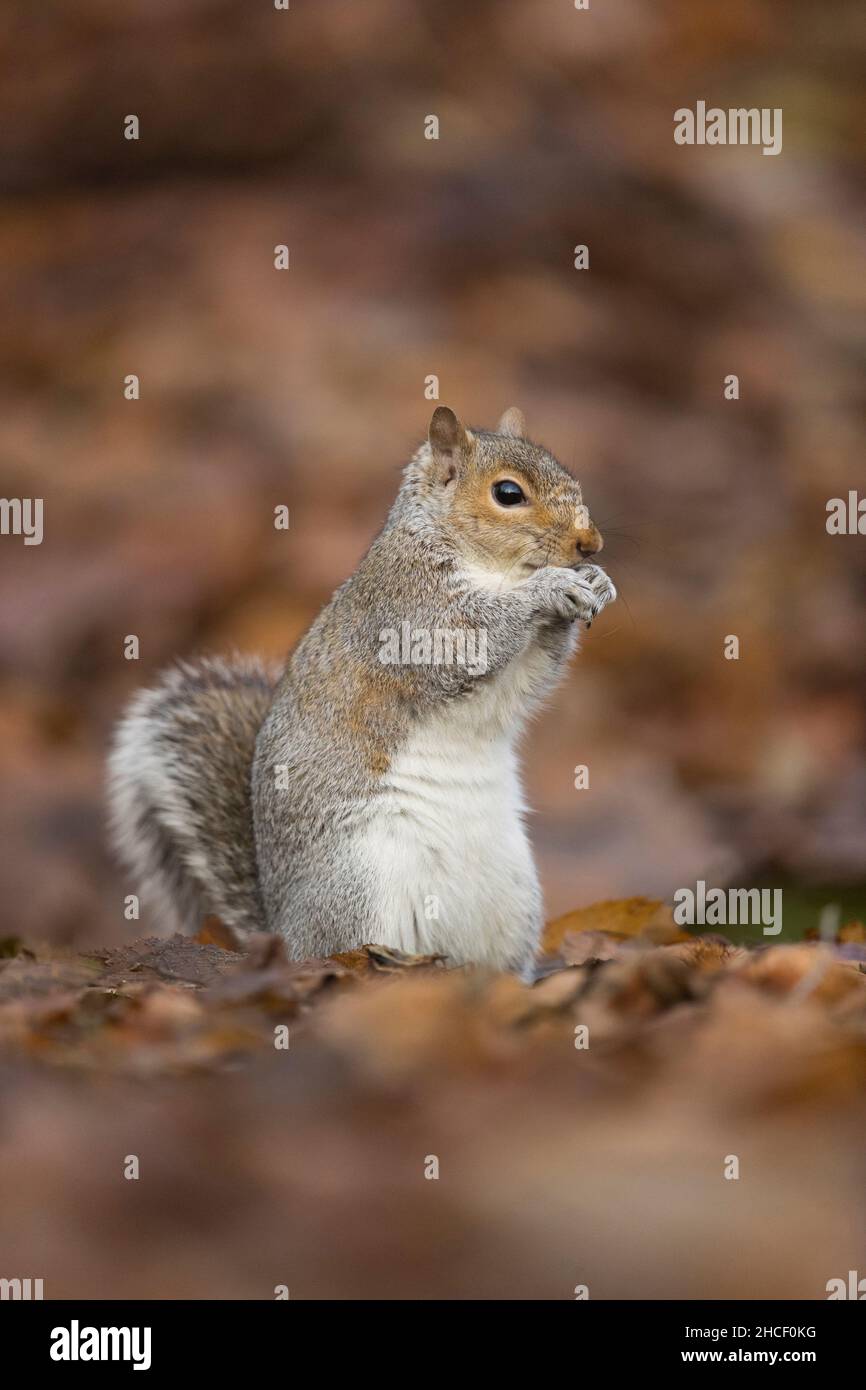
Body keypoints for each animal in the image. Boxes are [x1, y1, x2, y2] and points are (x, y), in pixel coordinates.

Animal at [108, 406, 616, 973]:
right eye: (508, 493)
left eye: (569, 476)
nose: (590, 544)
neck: (489, 566)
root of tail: (287, 935)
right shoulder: (408, 609)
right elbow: (467, 640)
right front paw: (549, 588)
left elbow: (535, 672)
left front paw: (597, 581)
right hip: (362, 885)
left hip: (514, 894)